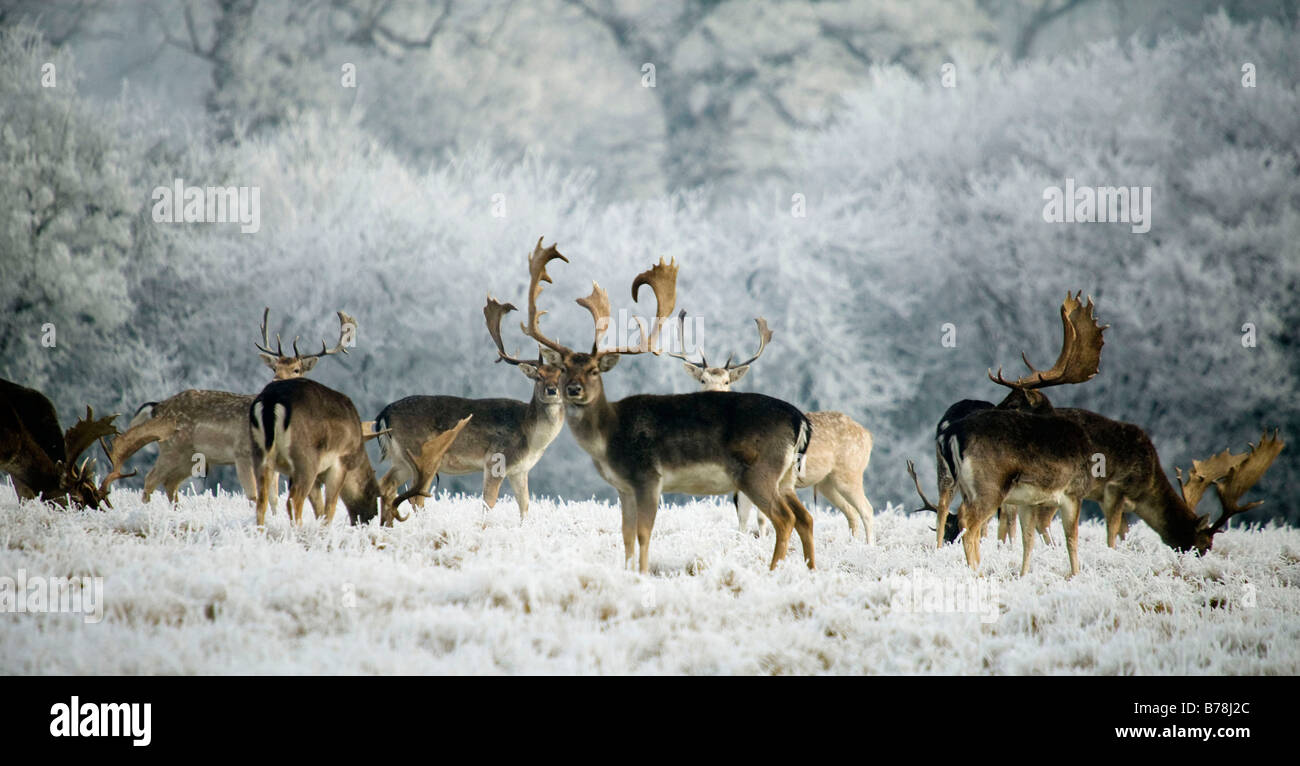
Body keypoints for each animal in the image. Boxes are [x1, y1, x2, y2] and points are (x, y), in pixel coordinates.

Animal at [99, 308, 355, 510]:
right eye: (275, 368)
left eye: (296, 369)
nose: (276, 381)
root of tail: (157, 406)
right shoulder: (241, 452)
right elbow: (254, 495)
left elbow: (273, 497)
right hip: (171, 446)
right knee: (150, 479)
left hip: (188, 454)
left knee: (169, 483)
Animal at [250, 376, 470, 527]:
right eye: (372, 493)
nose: (368, 519)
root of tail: (271, 401)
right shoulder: (340, 462)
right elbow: (330, 507)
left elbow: (320, 509)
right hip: (305, 459)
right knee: (293, 500)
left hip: (259, 452)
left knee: (261, 500)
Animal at [372, 298, 565, 522]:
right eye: (538, 376)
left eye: (561, 375)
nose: (552, 390)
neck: (531, 437)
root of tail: (385, 413)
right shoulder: (496, 460)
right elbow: (488, 504)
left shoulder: (520, 470)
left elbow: (524, 507)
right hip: (422, 454)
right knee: (415, 497)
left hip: (400, 459)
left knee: (386, 485)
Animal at [498, 238, 815, 573]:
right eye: (564, 368)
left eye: (594, 370)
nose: (573, 389)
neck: (608, 438)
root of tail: (799, 419)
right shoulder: (623, 487)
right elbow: (625, 534)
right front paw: (627, 571)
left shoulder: (648, 476)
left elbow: (643, 532)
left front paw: (642, 573)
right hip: (786, 476)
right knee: (805, 517)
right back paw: (809, 569)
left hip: (759, 471)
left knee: (785, 518)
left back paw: (774, 570)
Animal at [667, 311, 876, 543]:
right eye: (703, 380)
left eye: (726, 381)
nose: (714, 395)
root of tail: (868, 435)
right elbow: (742, 518)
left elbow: (761, 518)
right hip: (827, 481)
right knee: (851, 512)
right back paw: (852, 543)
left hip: (850, 471)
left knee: (867, 509)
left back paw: (868, 547)